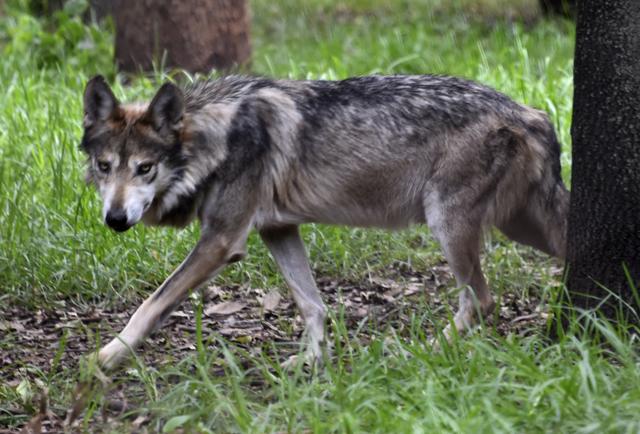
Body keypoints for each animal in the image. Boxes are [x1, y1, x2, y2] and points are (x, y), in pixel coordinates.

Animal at [80, 74, 569, 369]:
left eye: (144, 169)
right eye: (105, 167)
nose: (115, 219)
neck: (216, 138)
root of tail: (532, 114)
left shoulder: (221, 241)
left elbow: (152, 303)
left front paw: (106, 356)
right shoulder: (278, 230)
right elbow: (312, 305)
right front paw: (310, 363)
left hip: (447, 224)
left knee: (481, 302)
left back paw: (422, 351)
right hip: (518, 226)